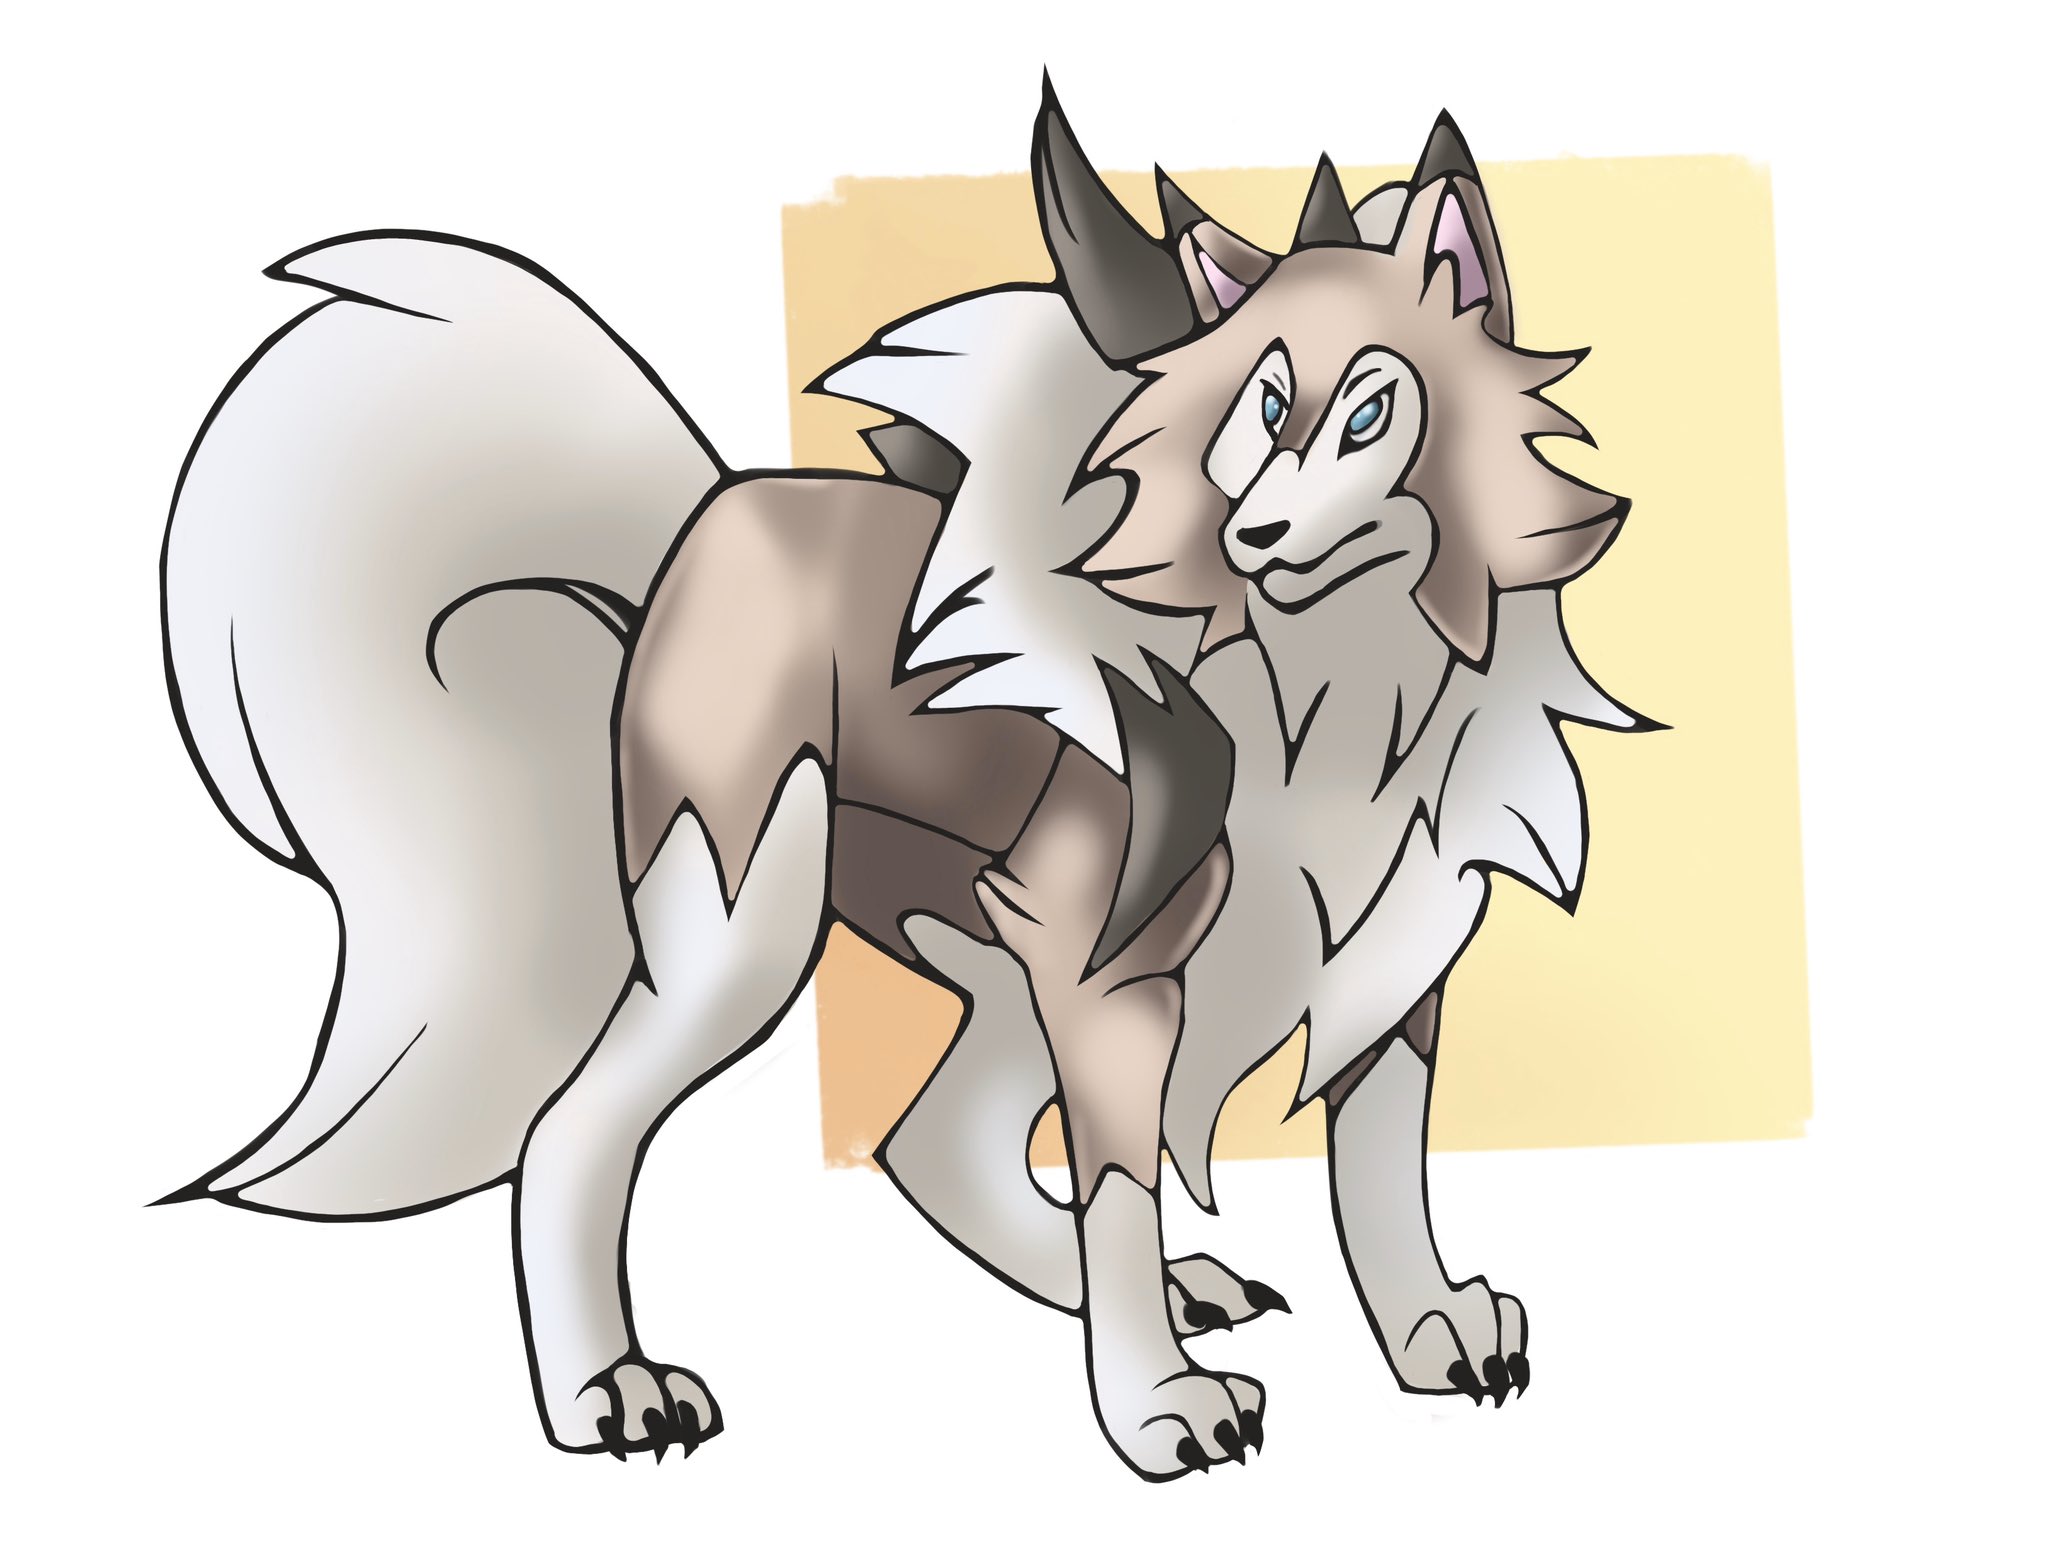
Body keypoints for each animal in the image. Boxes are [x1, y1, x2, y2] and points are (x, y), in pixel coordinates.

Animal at [158, 83, 1643, 1479]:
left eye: (1371, 410)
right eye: (1263, 410)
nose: (1257, 533)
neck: (1334, 694)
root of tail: (710, 521)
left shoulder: (1387, 952)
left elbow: (1380, 1161)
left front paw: (1423, 1328)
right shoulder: (1115, 969)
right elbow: (1123, 1183)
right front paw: (1154, 1408)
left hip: (980, 948)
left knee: (932, 1144)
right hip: (747, 919)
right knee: (574, 1128)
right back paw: (606, 1389)